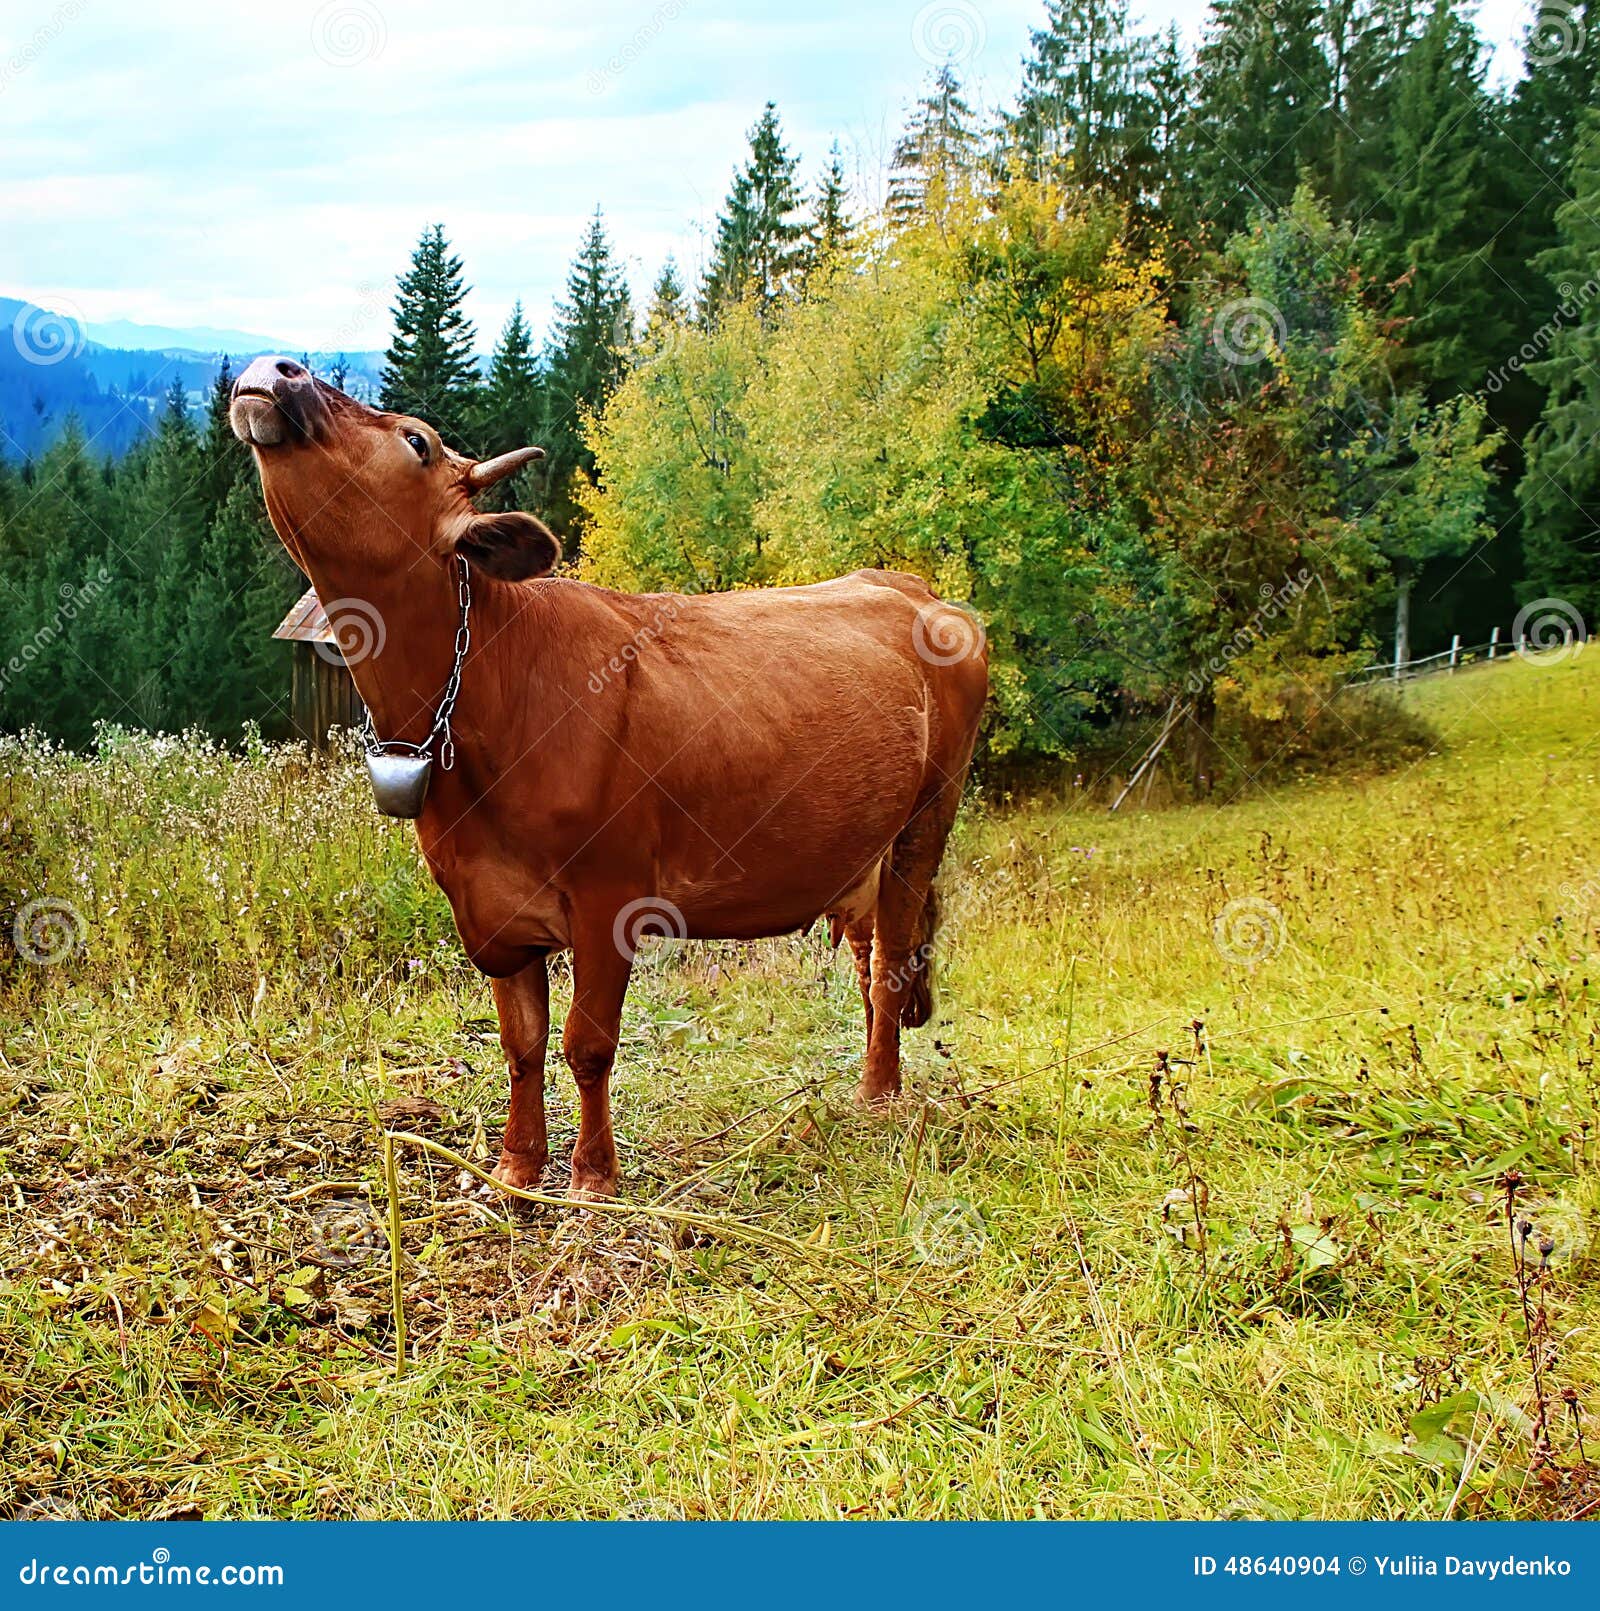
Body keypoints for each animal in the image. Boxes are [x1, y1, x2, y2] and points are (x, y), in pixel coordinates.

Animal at [230, 356, 987, 1197]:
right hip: (863, 845)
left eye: (417, 440)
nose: (276, 368)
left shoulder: (608, 896)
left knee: (892, 958)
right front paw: (517, 1163)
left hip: (928, 816)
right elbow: (522, 1043)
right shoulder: (487, 906)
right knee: (868, 954)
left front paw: (593, 1175)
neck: (490, 683)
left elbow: (585, 1042)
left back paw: (878, 1094)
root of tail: (909, 586)